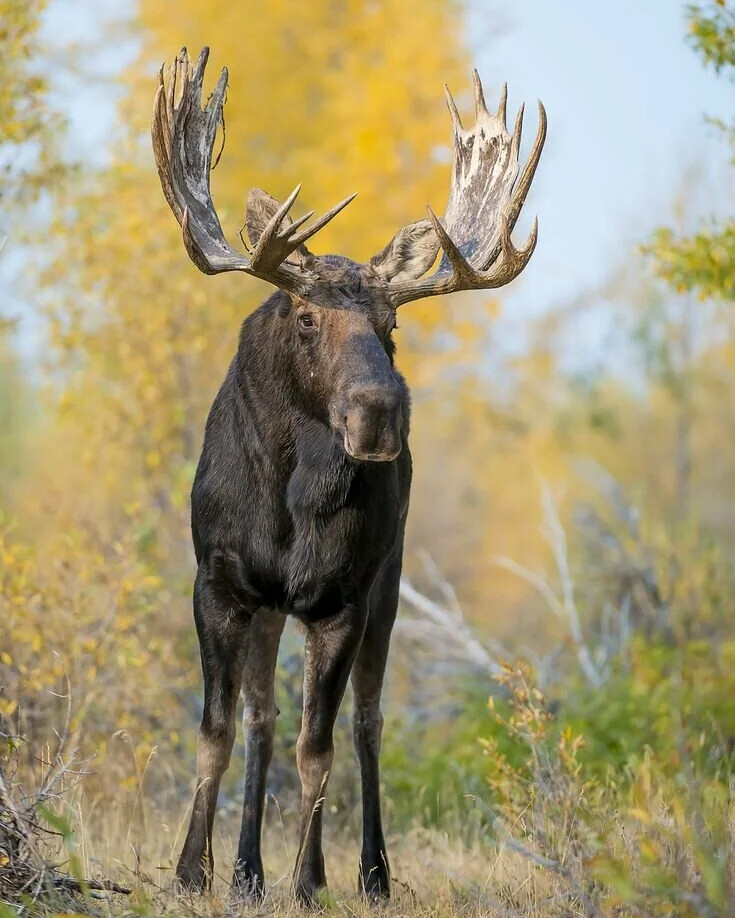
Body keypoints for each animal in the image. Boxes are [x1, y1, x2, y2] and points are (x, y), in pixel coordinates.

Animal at [152, 46, 548, 904]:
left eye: (390, 322)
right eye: (305, 317)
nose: (380, 414)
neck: (289, 504)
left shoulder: (340, 599)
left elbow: (320, 748)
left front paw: (307, 882)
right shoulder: (218, 583)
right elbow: (218, 732)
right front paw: (194, 871)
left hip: (387, 588)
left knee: (365, 724)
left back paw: (368, 874)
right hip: (274, 608)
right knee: (263, 720)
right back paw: (245, 873)